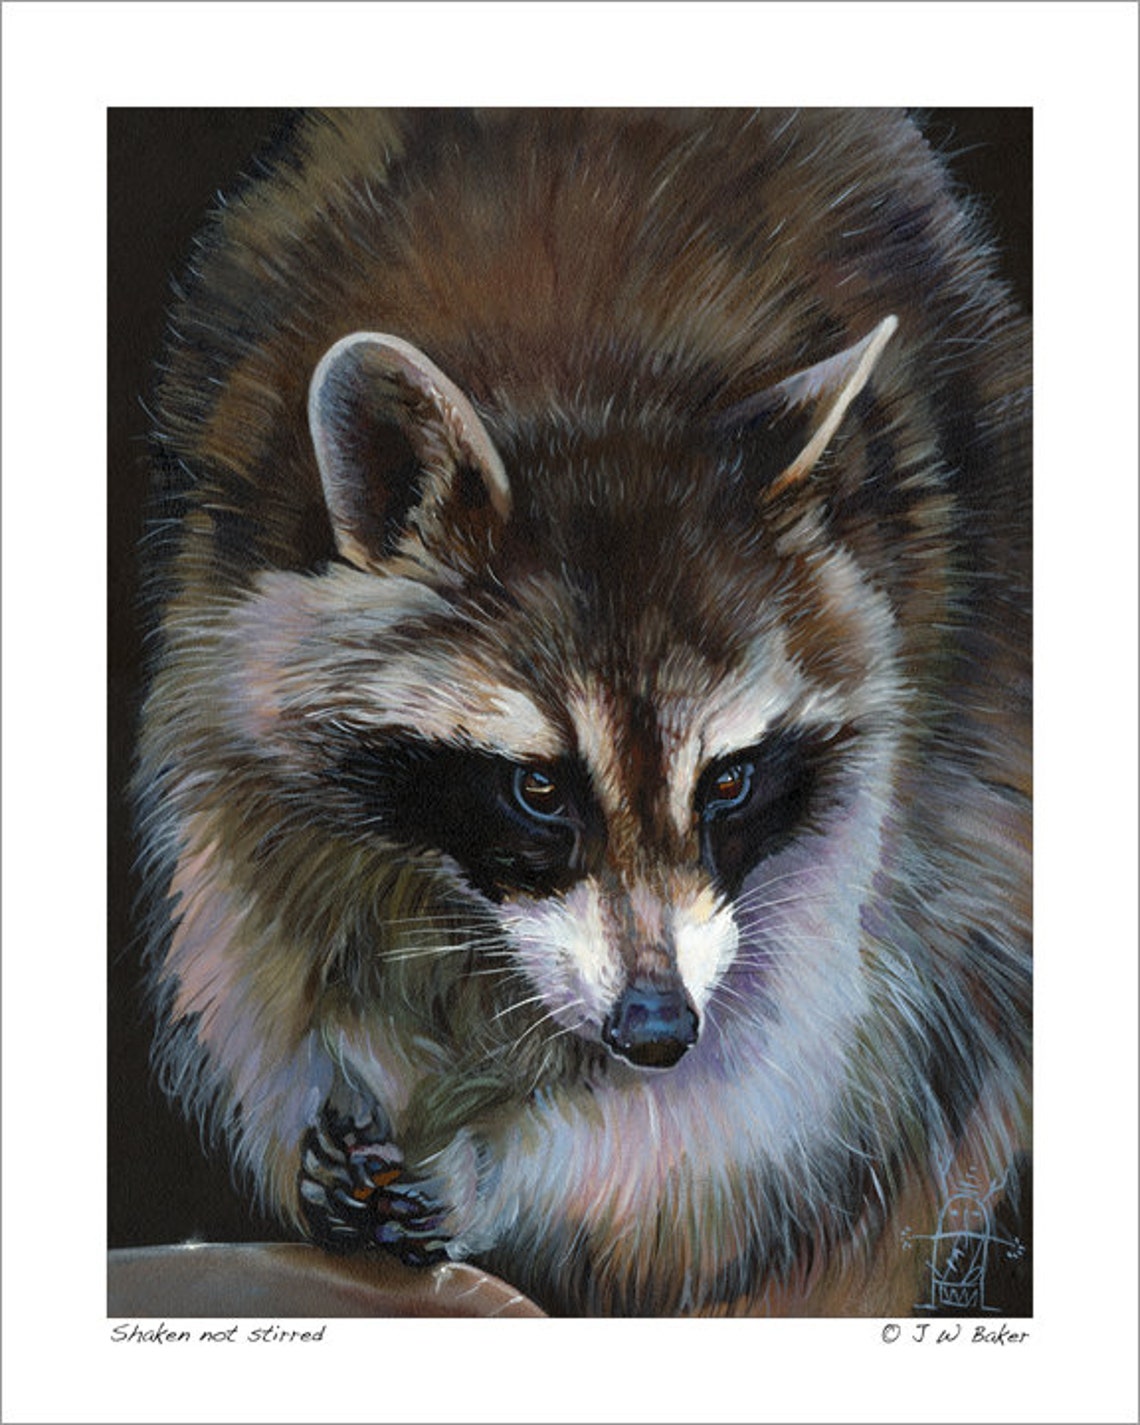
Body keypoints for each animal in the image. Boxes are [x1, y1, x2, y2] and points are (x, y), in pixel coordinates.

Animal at [134, 108, 1031, 1316]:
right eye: (538, 787)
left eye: (730, 780)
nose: (653, 1028)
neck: (587, 385)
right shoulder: (227, 673)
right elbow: (261, 947)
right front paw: (335, 1072)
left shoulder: (888, 785)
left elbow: (771, 1085)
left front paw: (500, 1169)